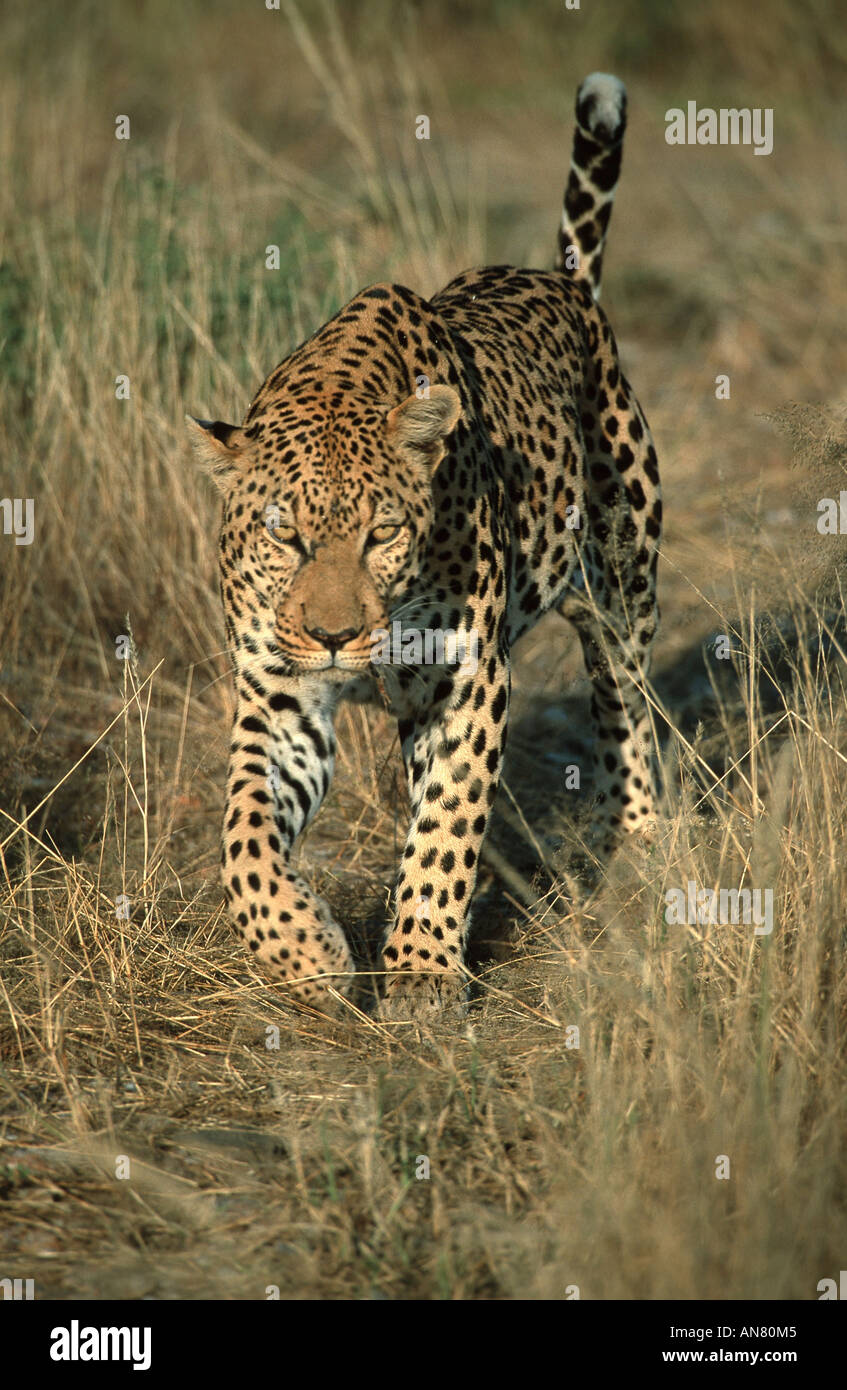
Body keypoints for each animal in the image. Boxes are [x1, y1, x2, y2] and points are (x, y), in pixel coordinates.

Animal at [187, 72, 662, 1019]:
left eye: (381, 533)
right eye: (284, 535)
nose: (335, 636)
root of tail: (565, 285)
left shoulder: (467, 678)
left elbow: (448, 825)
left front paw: (418, 972)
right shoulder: (279, 694)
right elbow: (244, 833)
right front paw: (304, 952)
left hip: (623, 578)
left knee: (626, 703)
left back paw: (641, 846)